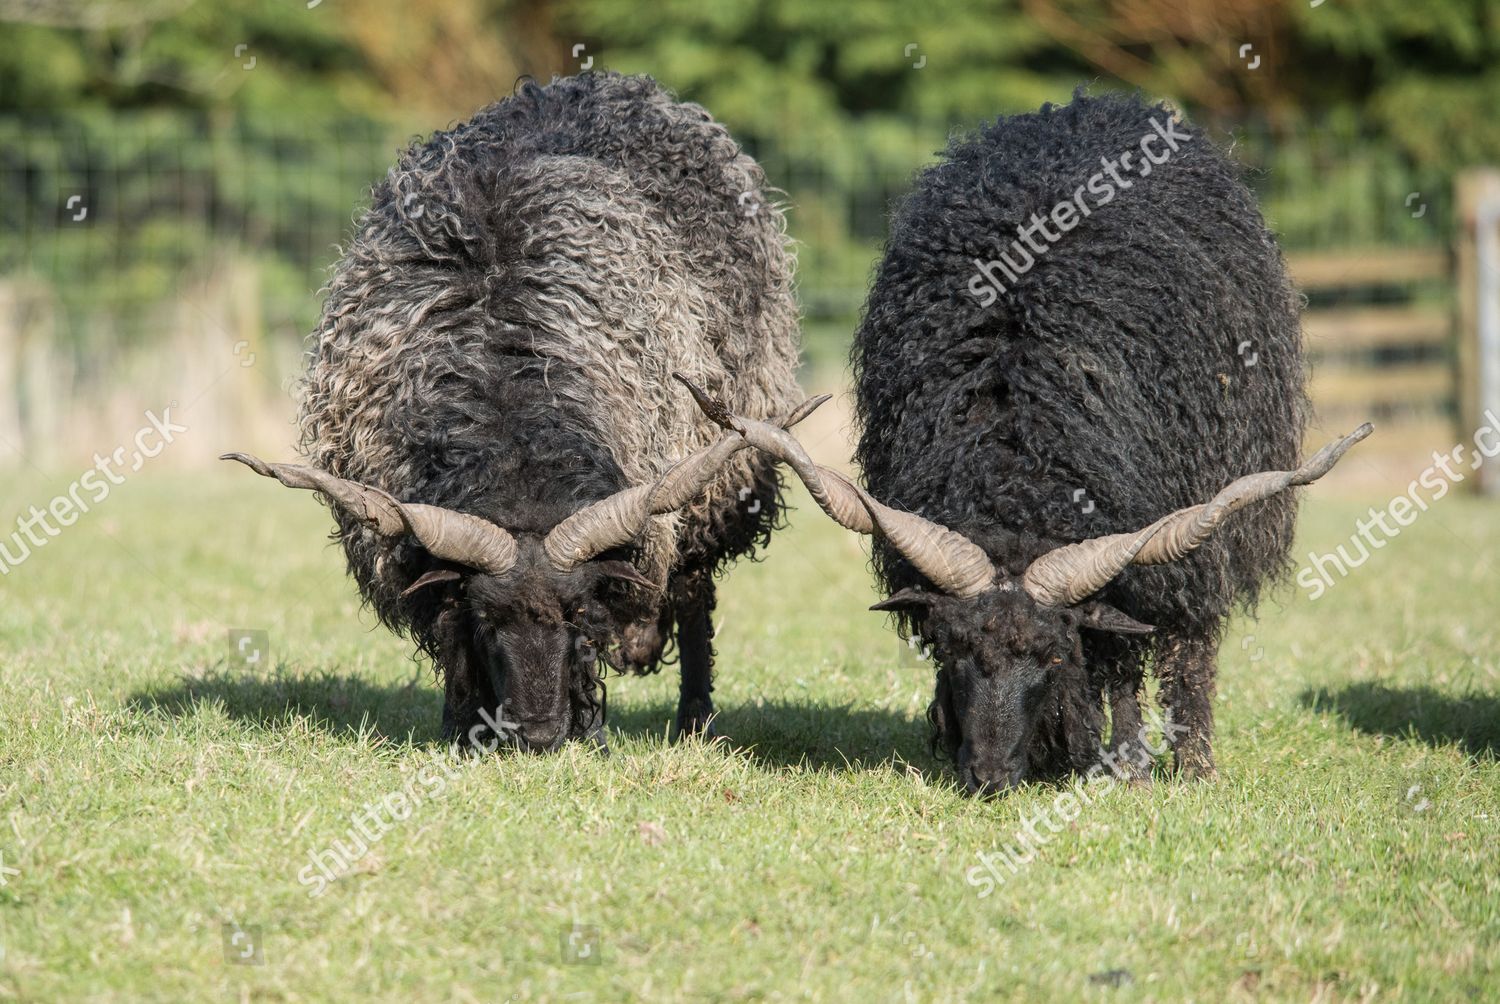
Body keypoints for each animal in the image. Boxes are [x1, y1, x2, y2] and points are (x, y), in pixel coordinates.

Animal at [223, 72, 804, 751]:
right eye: (487, 616)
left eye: (575, 610)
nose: (539, 734)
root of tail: (608, 81)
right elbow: (451, 647)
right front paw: (460, 728)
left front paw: (591, 731)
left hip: (717, 487)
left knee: (693, 593)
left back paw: (693, 723)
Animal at [686, 91, 1370, 795]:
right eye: (955, 648)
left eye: (1052, 653)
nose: (988, 775)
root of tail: (1086, 106)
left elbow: (1124, 657)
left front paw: (1131, 766)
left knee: (1189, 648)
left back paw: (1192, 762)